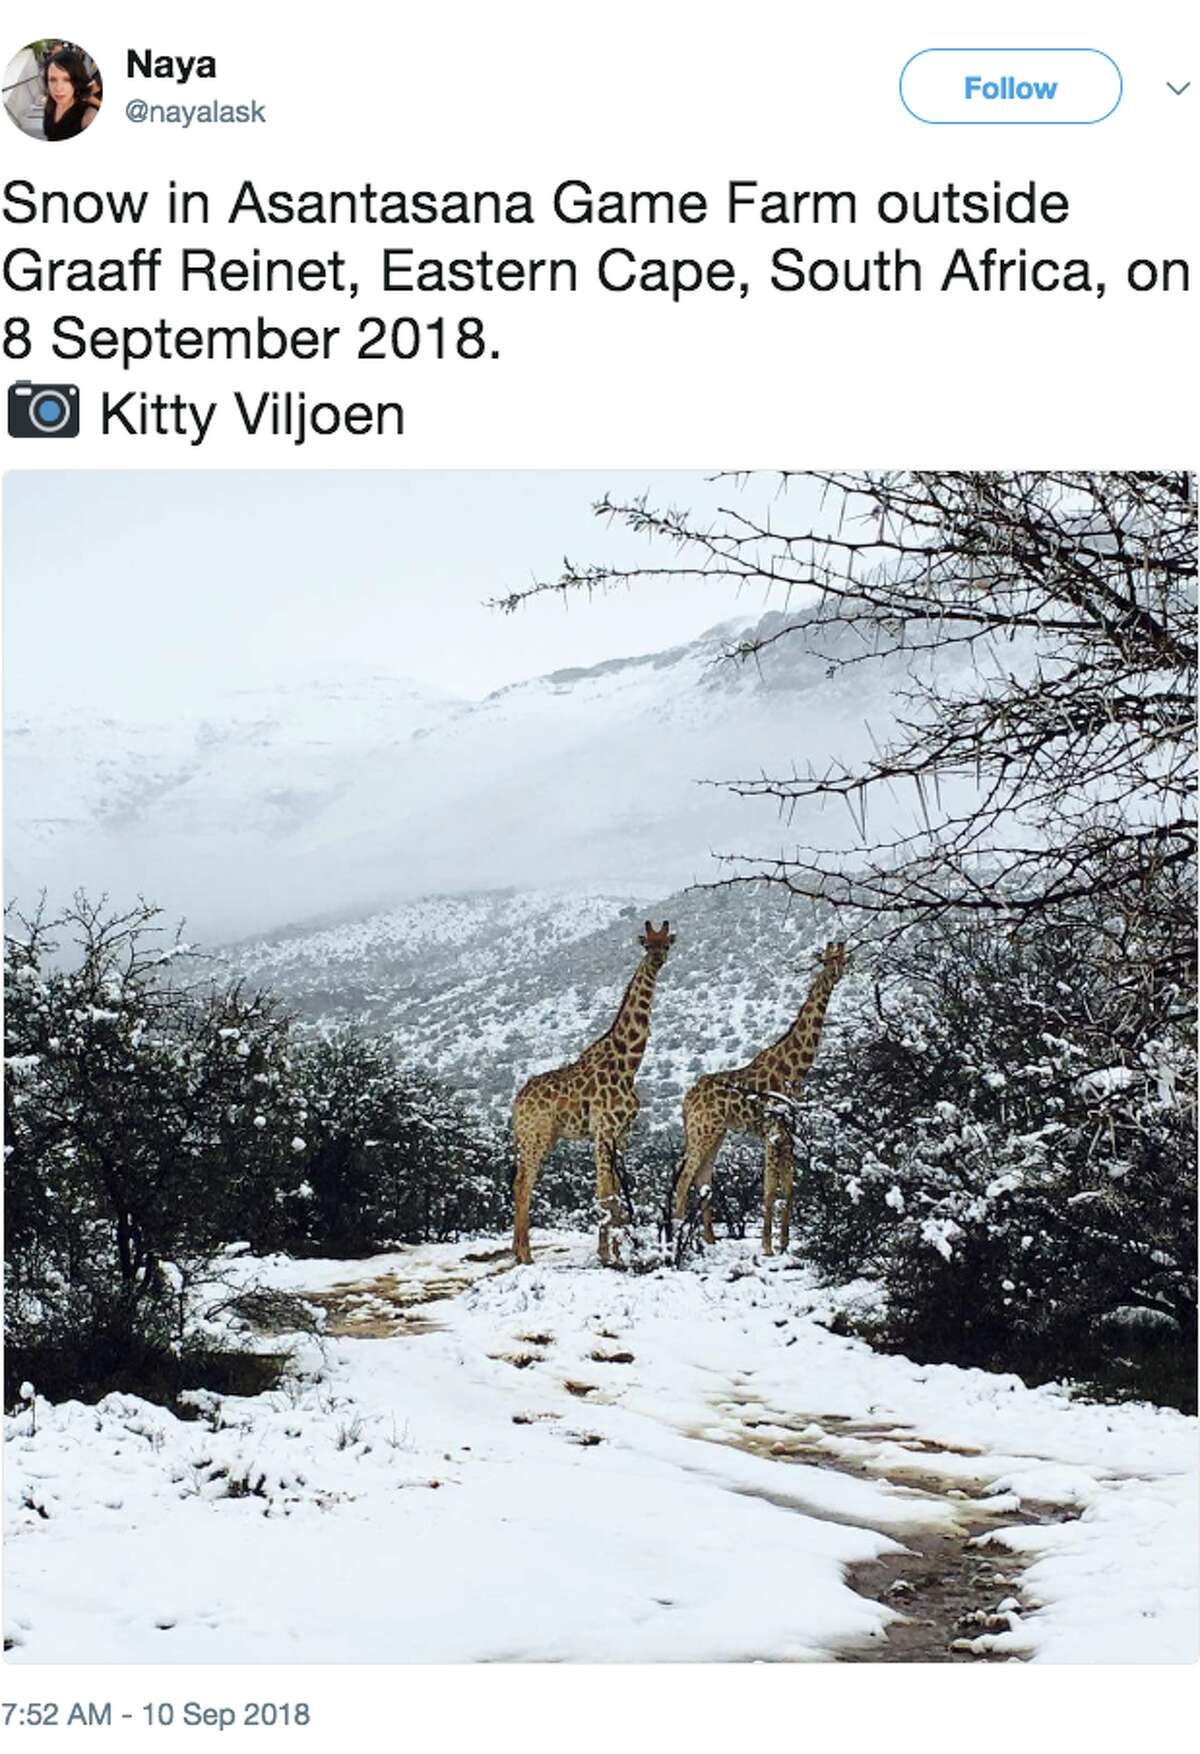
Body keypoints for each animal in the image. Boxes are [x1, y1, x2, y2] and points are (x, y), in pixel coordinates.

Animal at [511, 921, 675, 1266]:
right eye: (647, 945)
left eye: (666, 943)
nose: (657, 960)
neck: (629, 1063)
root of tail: (516, 1102)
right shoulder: (603, 1131)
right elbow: (604, 1194)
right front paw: (607, 1256)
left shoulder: (622, 1134)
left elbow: (616, 1195)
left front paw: (619, 1253)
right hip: (536, 1136)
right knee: (522, 1185)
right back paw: (525, 1256)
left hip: (541, 1138)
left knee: (520, 1182)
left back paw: (517, 1251)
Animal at [673, 941, 847, 1256]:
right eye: (827, 959)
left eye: (844, 957)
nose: (836, 973)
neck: (795, 1068)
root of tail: (686, 1101)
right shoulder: (772, 1131)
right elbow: (769, 1189)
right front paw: (767, 1246)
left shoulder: (789, 1133)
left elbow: (789, 1187)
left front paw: (785, 1244)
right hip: (702, 1131)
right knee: (684, 1179)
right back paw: (679, 1240)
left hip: (715, 1133)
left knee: (703, 1179)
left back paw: (709, 1240)